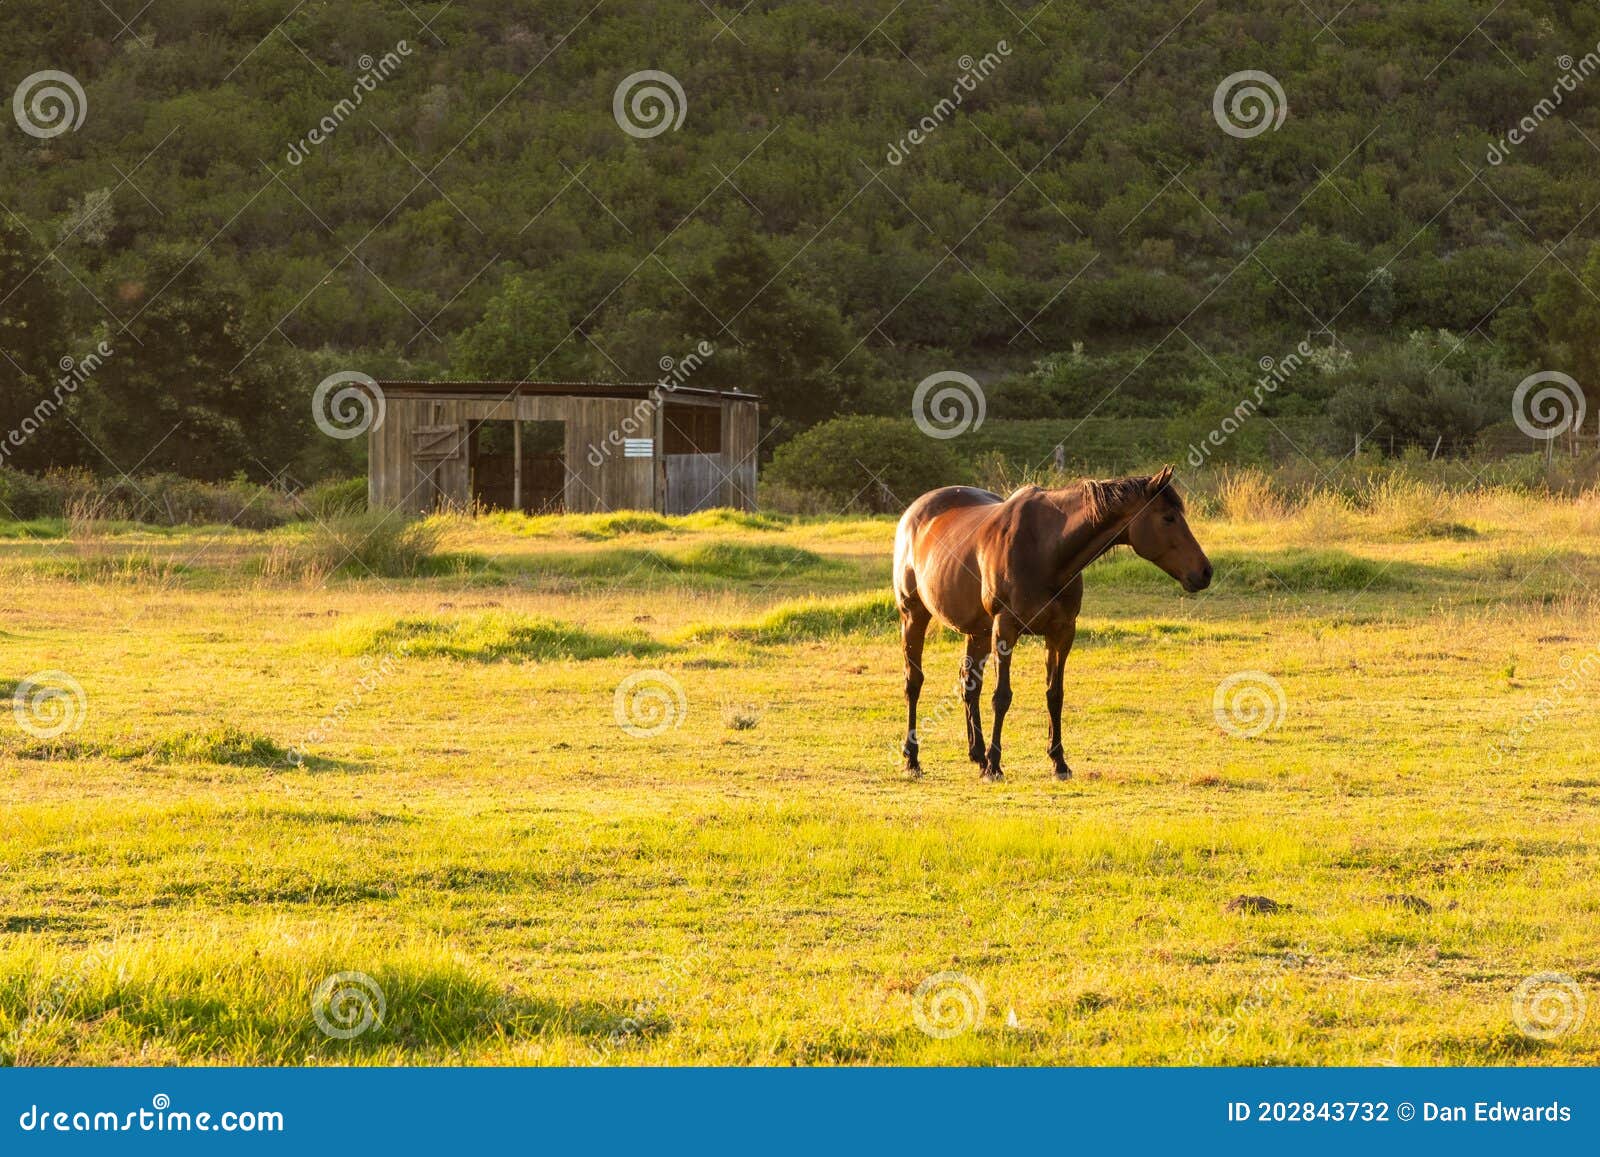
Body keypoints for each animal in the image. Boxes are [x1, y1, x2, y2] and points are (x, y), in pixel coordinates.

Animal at [892, 466, 1211, 782]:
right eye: (1168, 517)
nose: (1205, 572)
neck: (1045, 549)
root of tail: (914, 512)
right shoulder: (1005, 629)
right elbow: (1002, 696)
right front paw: (995, 765)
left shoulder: (1061, 632)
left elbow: (1054, 695)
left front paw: (1058, 762)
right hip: (914, 615)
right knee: (914, 682)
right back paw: (913, 759)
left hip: (978, 632)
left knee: (969, 684)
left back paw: (977, 755)